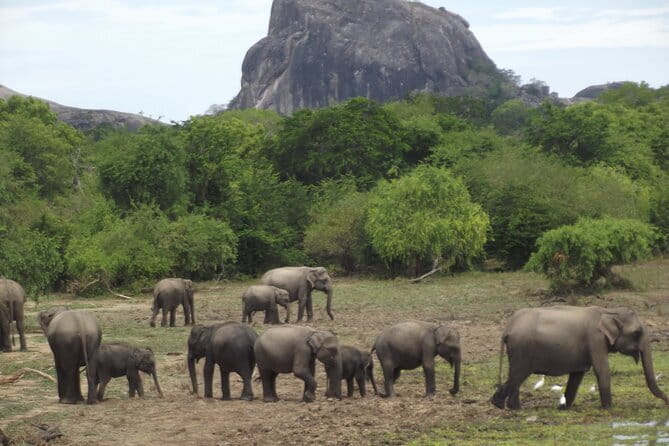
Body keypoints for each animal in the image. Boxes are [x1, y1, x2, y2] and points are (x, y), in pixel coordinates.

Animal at [491, 305, 669, 410]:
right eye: (637, 333)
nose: (666, 403)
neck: (608, 311)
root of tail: (508, 328)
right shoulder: (595, 339)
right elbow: (602, 370)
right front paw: (608, 408)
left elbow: (577, 375)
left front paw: (563, 408)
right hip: (522, 349)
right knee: (518, 375)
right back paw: (501, 405)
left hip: (517, 350)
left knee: (515, 376)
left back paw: (509, 406)